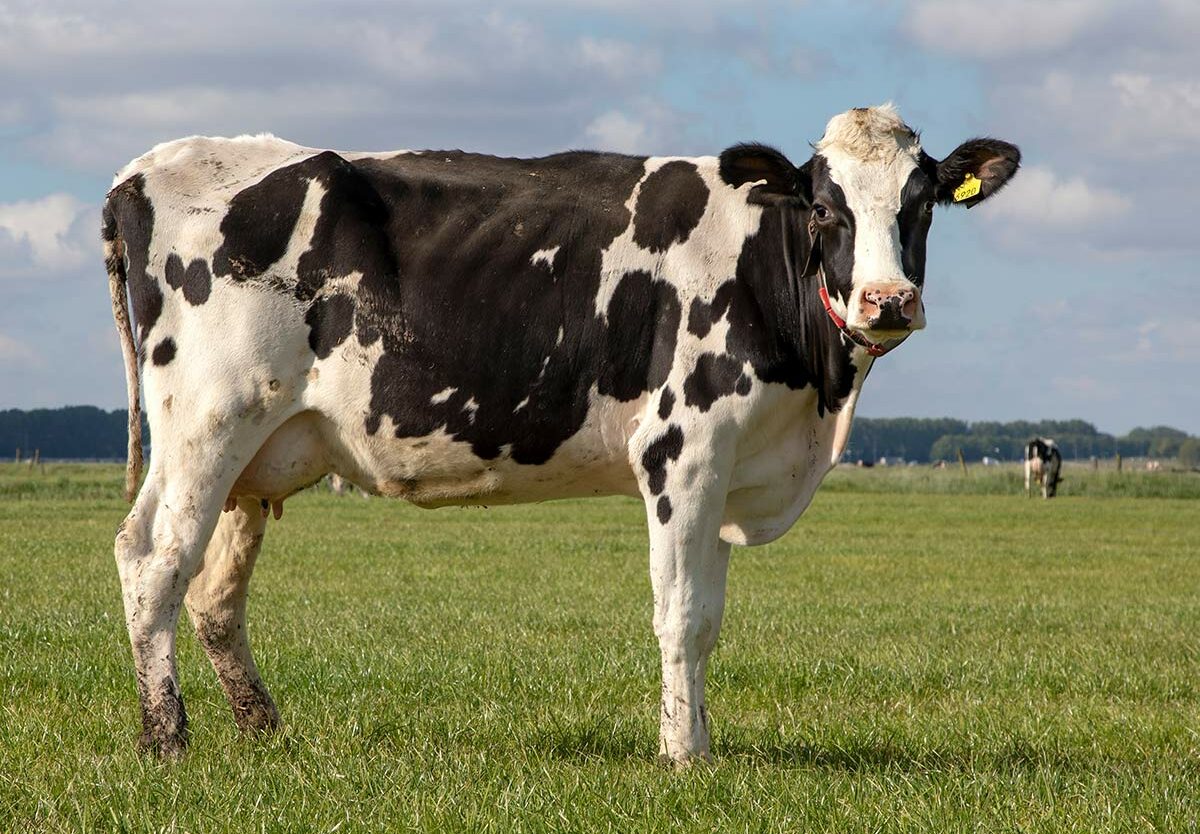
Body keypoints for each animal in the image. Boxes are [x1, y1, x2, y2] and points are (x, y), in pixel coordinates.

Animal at [104, 104, 1019, 764]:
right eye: (825, 209)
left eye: (922, 205)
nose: (888, 300)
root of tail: (145, 171)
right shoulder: (682, 451)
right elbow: (682, 614)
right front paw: (683, 756)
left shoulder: (728, 465)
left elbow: (711, 617)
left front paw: (700, 741)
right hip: (206, 420)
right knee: (153, 559)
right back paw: (165, 738)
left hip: (255, 453)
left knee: (216, 593)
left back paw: (263, 729)